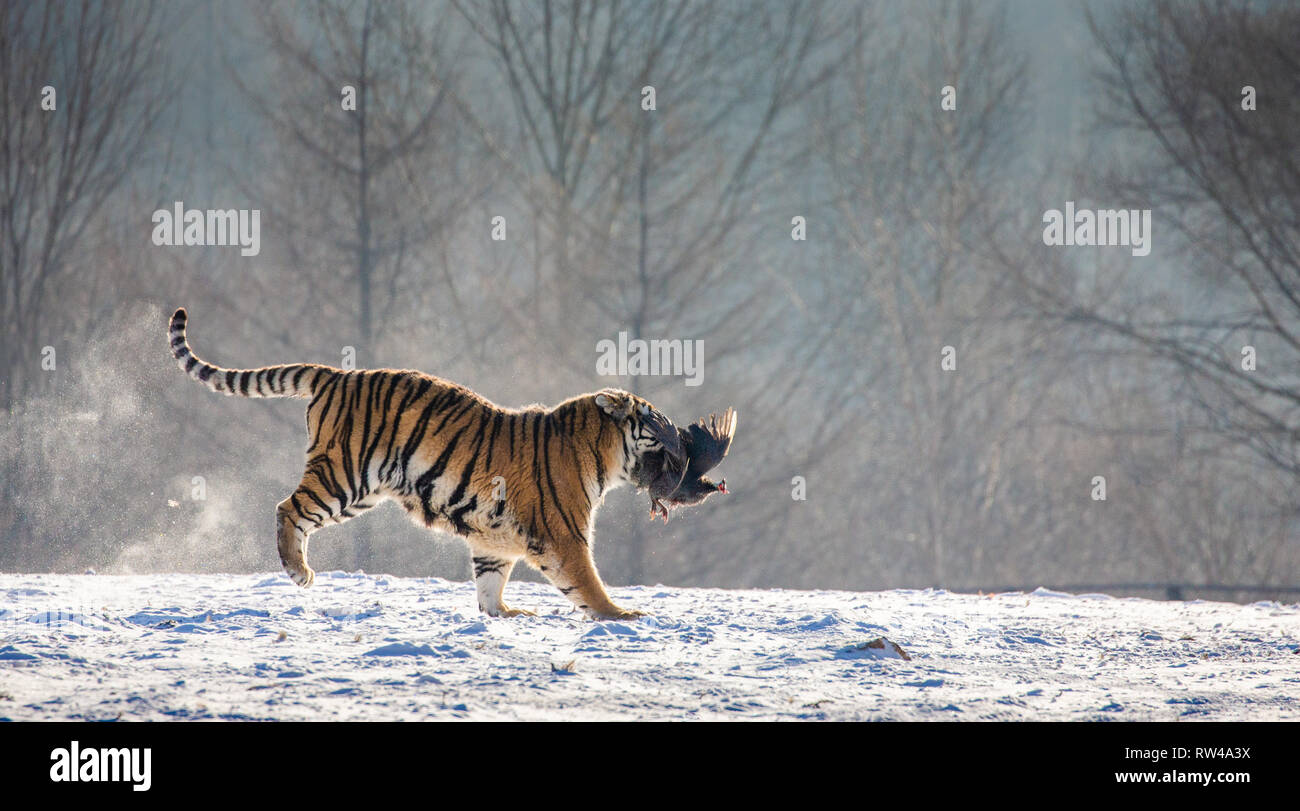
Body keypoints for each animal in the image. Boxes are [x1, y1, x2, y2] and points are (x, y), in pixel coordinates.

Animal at [167, 307, 678, 620]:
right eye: (655, 418)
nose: (680, 434)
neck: (603, 454)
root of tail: (337, 375)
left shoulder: (494, 540)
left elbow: (490, 584)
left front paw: (504, 614)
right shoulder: (564, 534)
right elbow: (588, 583)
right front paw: (621, 615)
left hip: (363, 491)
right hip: (344, 475)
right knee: (287, 507)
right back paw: (298, 571)